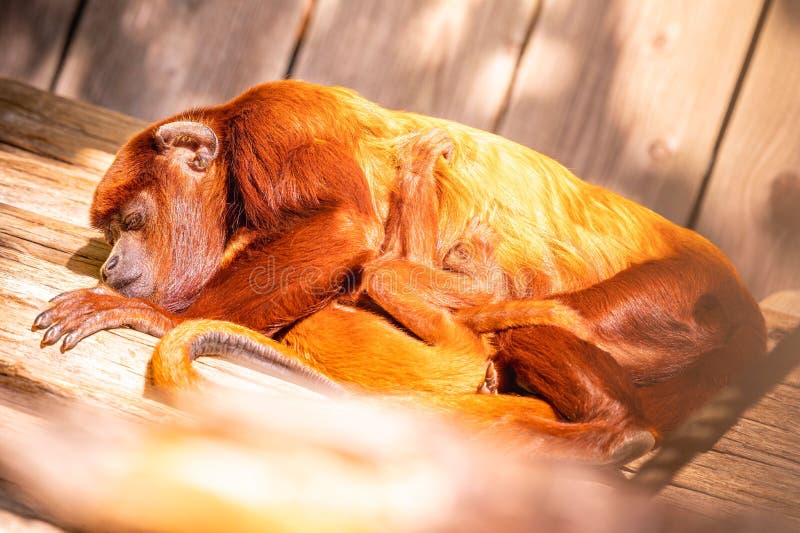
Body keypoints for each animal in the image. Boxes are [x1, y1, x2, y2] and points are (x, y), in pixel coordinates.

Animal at [32, 80, 766, 464]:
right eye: (109, 233)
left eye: (130, 222)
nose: (112, 263)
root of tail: (750, 324)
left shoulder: (279, 123)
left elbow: (343, 228)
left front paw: (156, 317)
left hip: (678, 299)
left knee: (539, 324)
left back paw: (611, 427)